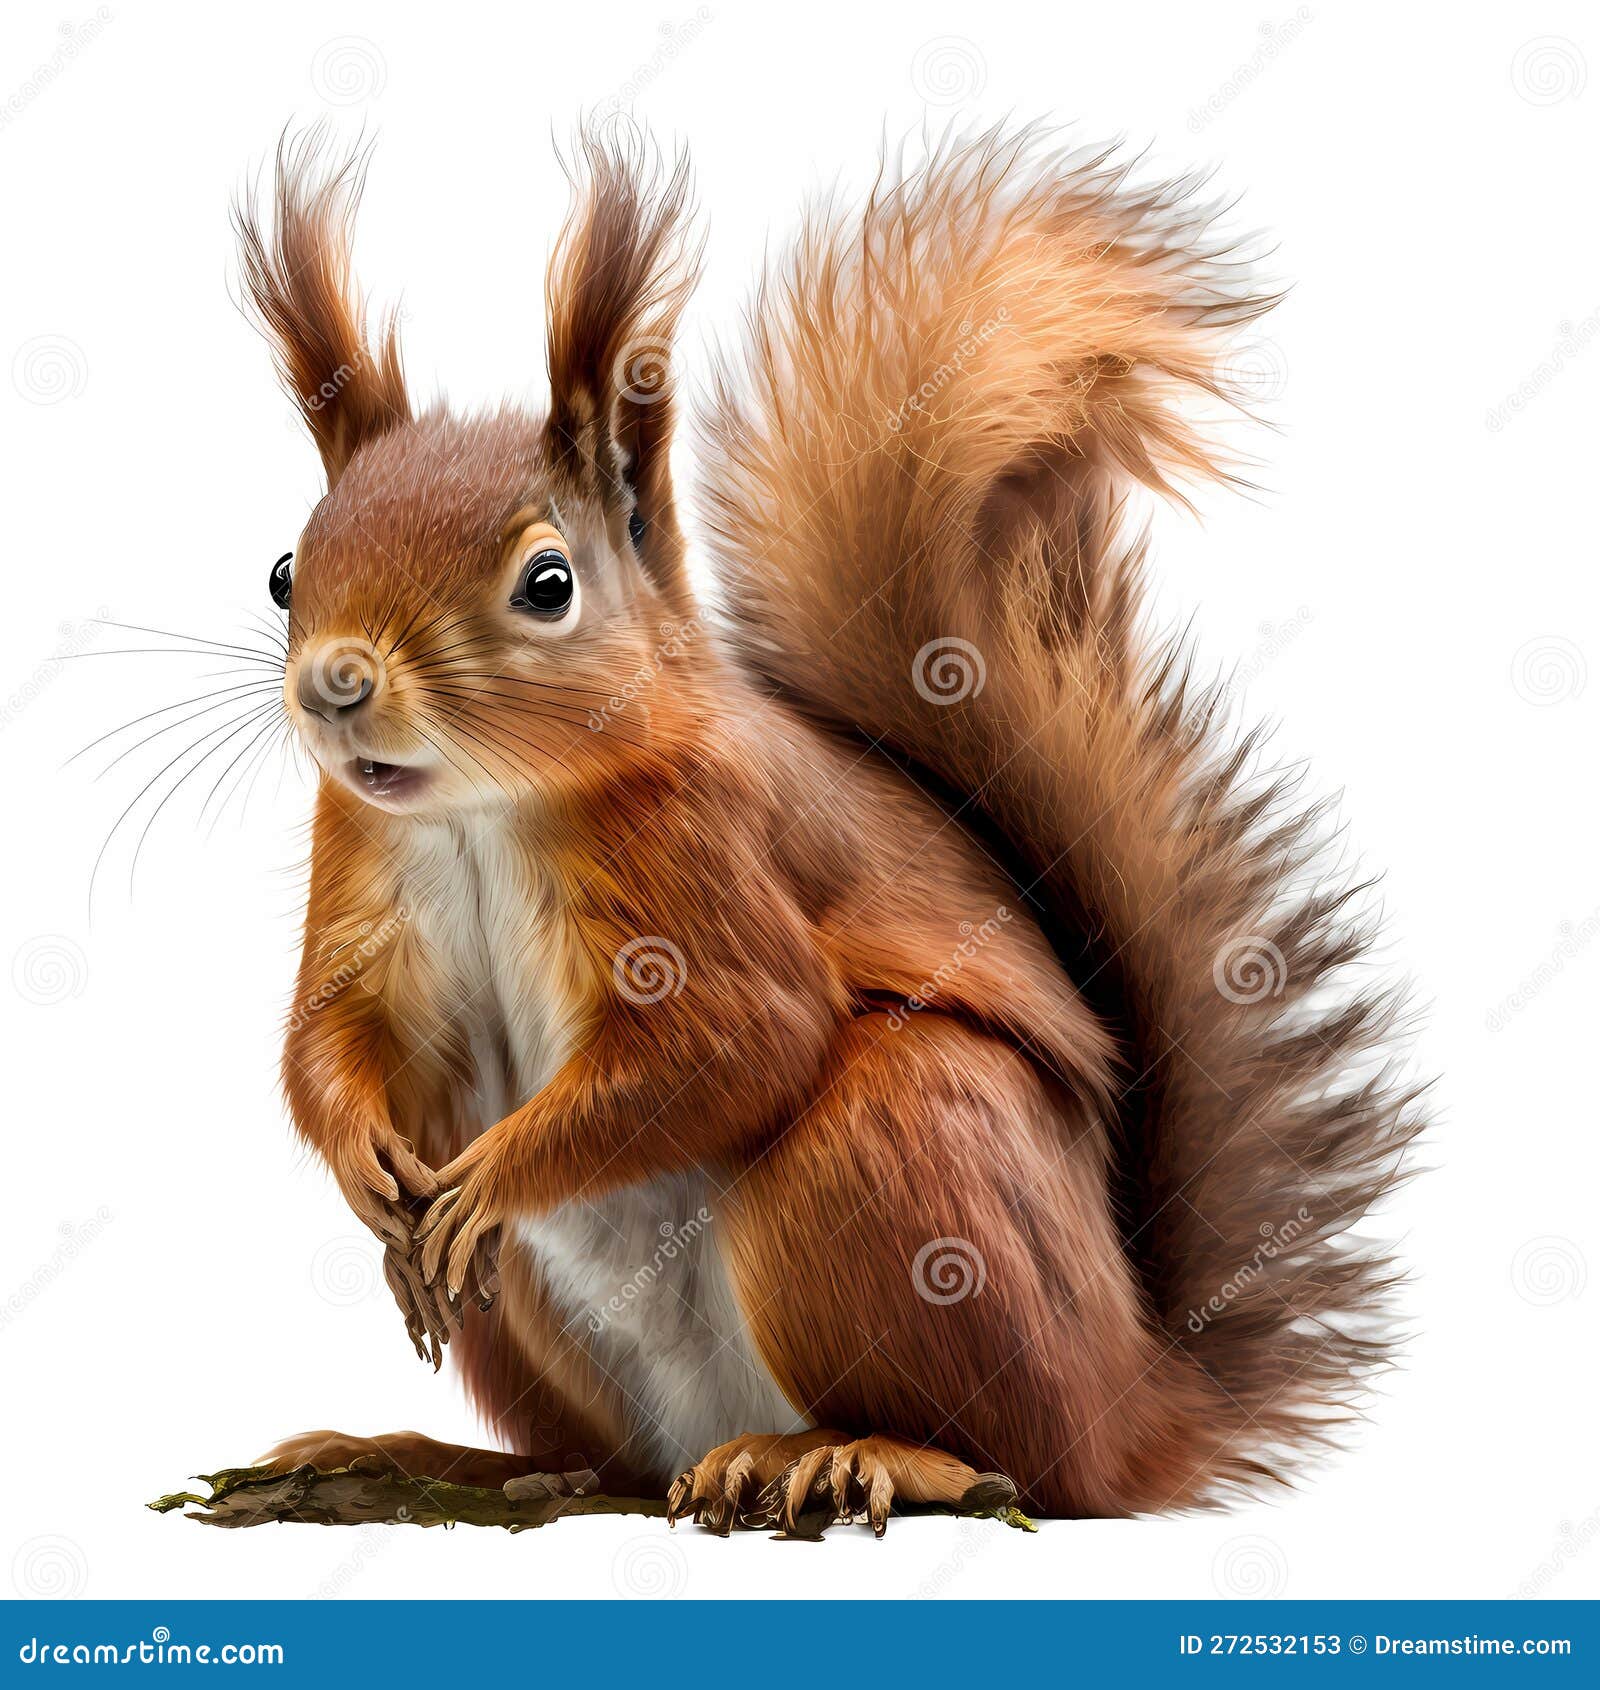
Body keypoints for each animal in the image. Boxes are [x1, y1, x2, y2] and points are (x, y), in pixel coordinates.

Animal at [239, 122, 1424, 1531]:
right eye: (284, 572)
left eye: (548, 584)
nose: (334, 684)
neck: (483, 809)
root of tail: (1139, 1398)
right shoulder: (364, 861)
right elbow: (330, 1038)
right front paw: (370, 1165)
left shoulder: (701, 854)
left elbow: (744, 1035)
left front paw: (492, 1177)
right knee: (609, 1464)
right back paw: (443, 1458)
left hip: (897, 1156)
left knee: (1025, 1460)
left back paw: (857, 1453)